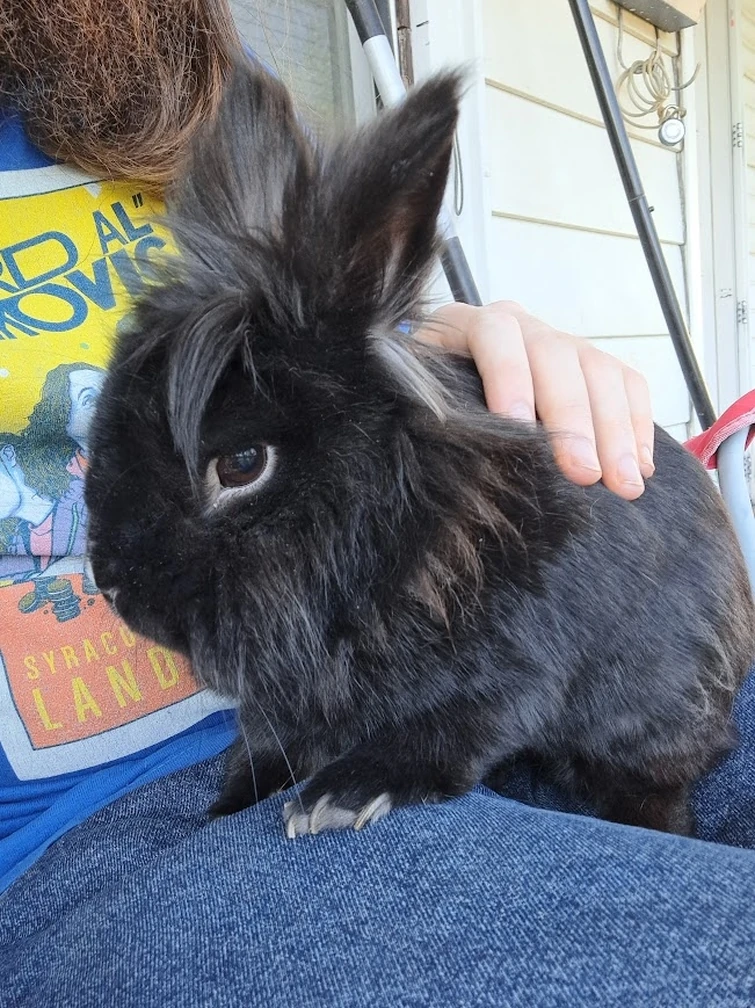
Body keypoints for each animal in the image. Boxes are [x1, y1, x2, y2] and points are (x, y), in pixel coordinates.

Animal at [85, 58, 755, 840]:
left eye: (242, 465)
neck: (395, 541)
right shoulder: (289, 703)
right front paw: (227, 805)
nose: (111, 585)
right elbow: (265, 745)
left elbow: (440, 734)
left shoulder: (507, 669)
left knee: (655, 785)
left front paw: (338, 797)